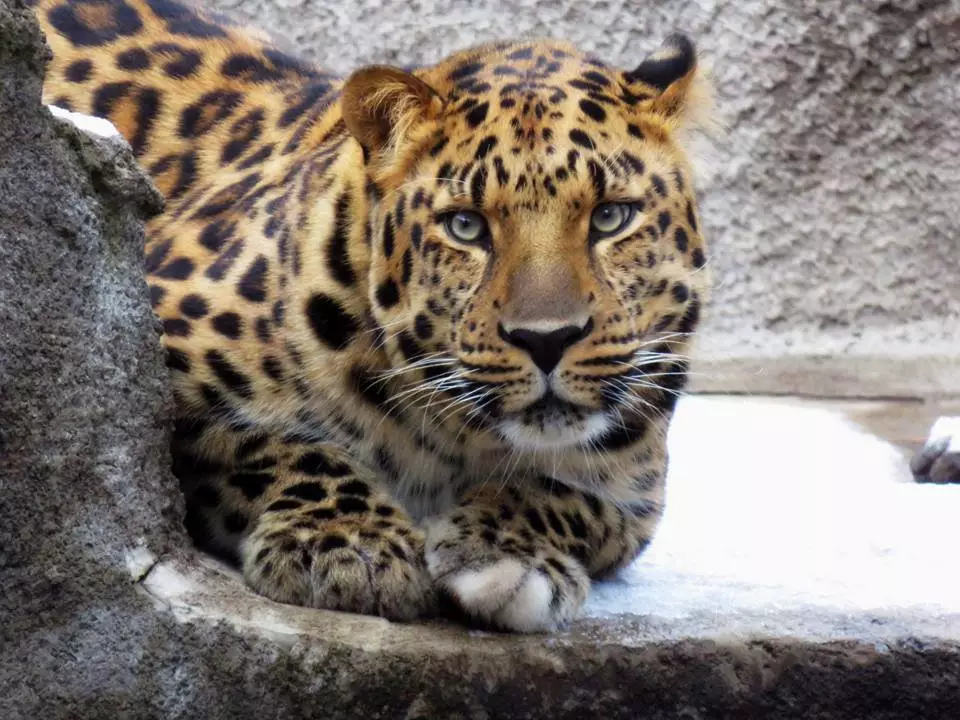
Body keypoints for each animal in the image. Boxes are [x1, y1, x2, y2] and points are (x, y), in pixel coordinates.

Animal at [33, 0, 712, 632]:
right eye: (466, 226)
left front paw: (502, 554)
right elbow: (270, 444)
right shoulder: (143, 345)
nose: (548, 340)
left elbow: (567, 497)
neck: (455, 439)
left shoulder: (639, 490)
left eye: (611, 217)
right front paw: (348, 544)